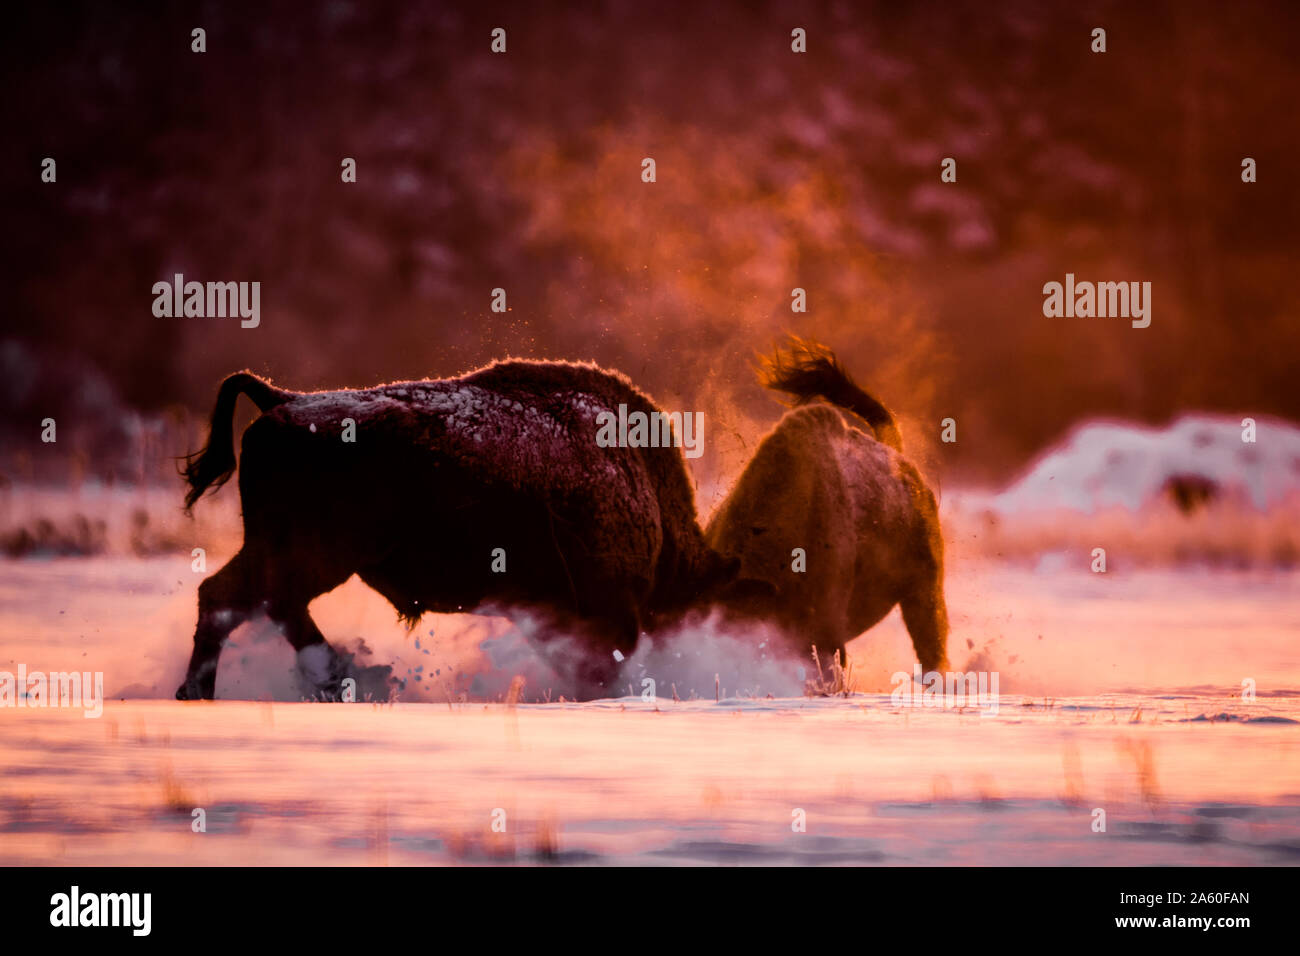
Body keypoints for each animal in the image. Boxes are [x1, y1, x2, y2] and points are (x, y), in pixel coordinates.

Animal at [177, 359, 737, 701]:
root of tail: (280, 400)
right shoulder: (609, 608)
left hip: (278, 549)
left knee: (230, 599)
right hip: (319, 554)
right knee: (261, 602)